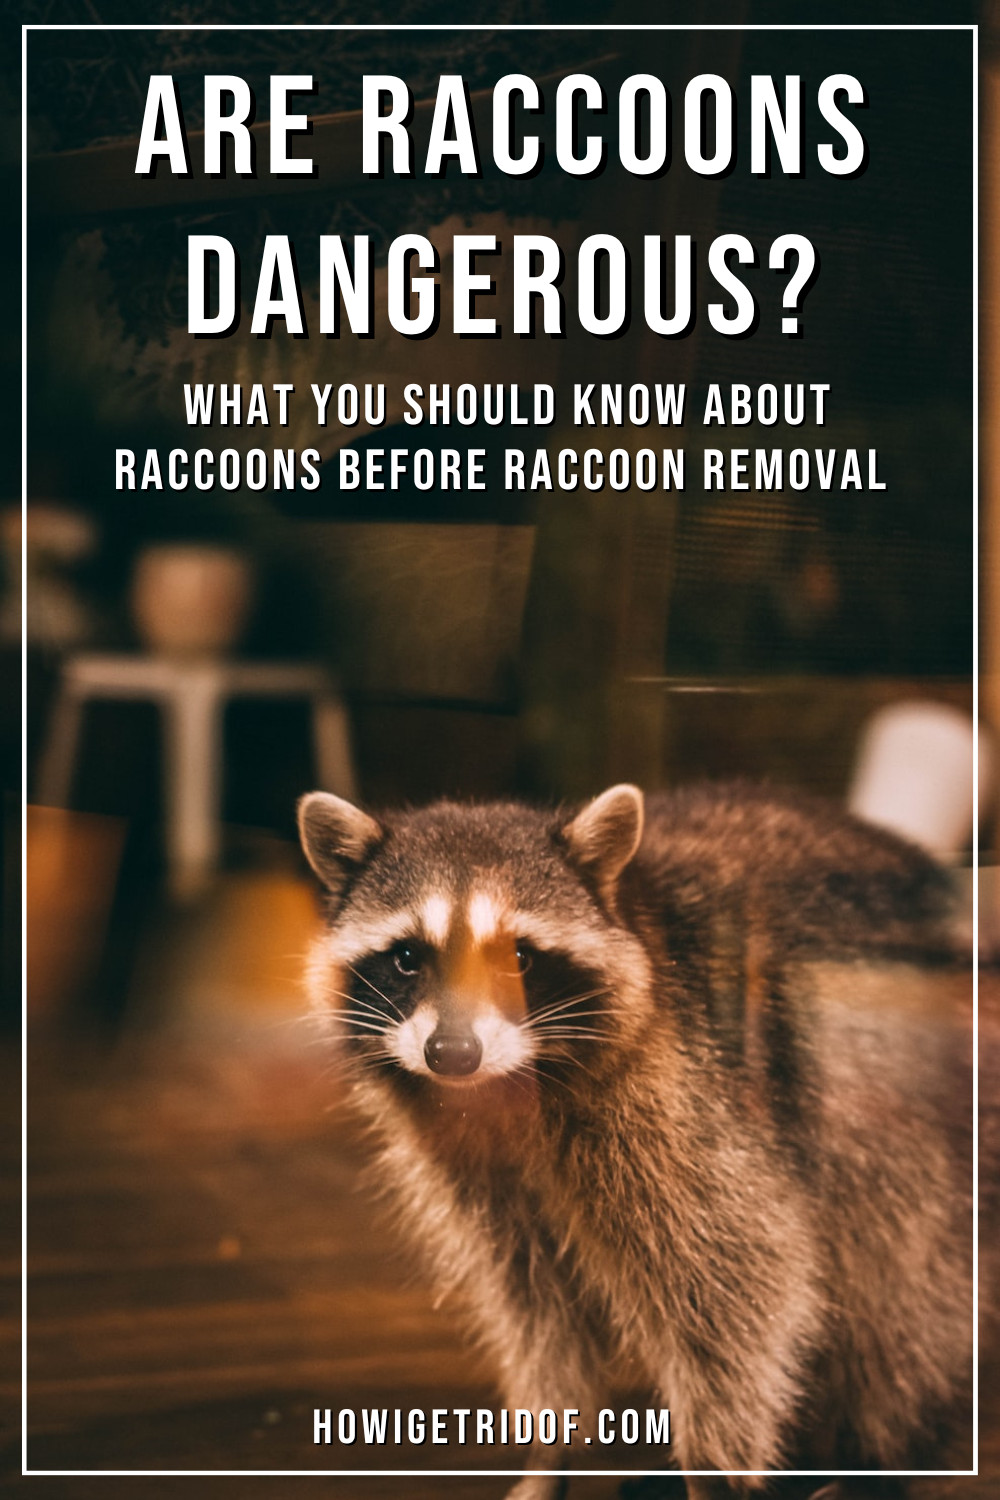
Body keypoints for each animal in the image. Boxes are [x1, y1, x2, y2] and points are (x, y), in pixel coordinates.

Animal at [297, 781, 983, 1500]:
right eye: (407, 958)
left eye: (518, 958)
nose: (452, 1055)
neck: (505, 1091)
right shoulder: (486, 1175)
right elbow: (535, 1307)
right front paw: (550, 1450)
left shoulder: (689, 1100)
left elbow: (744, 1282)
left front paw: (712, 1470)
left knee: (903, 1277)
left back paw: (879, 1454)